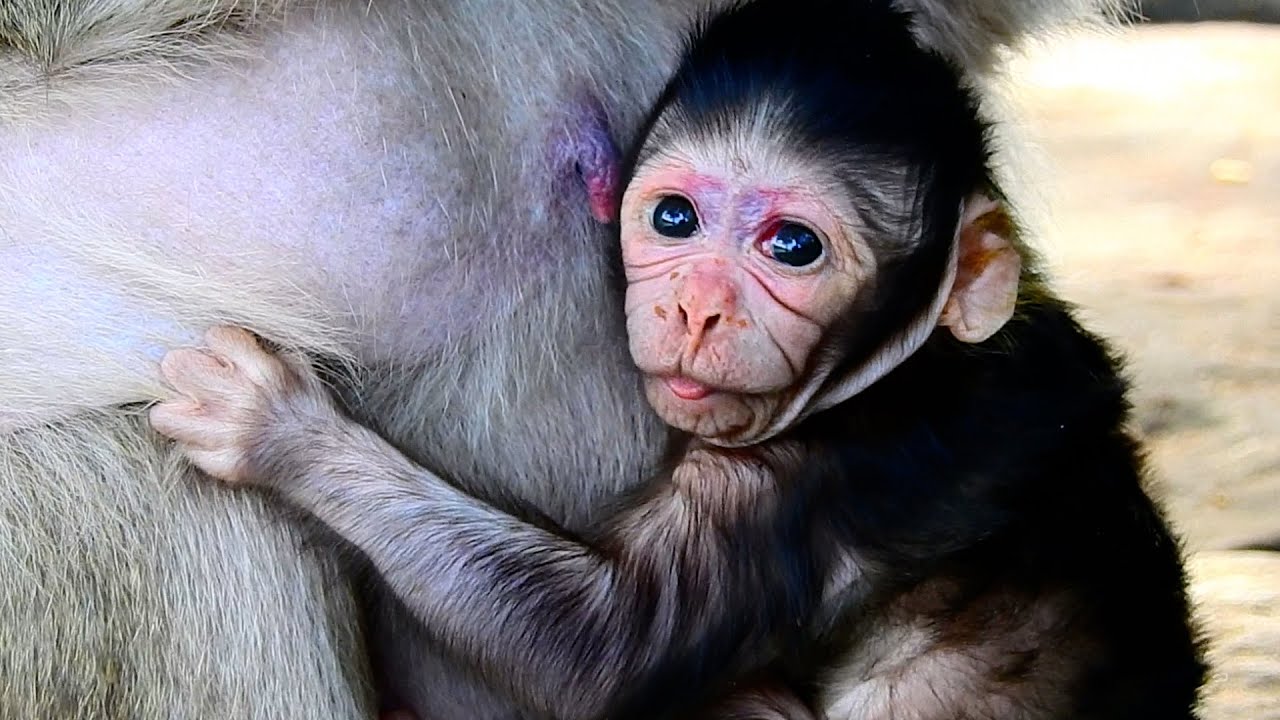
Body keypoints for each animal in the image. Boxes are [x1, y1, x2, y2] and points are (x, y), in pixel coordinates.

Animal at [0, 1, 1147, 718]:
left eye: (793, 247)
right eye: (673, 218)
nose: (694, 310)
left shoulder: (818, 474)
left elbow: (603, 646)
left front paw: (276, 430)